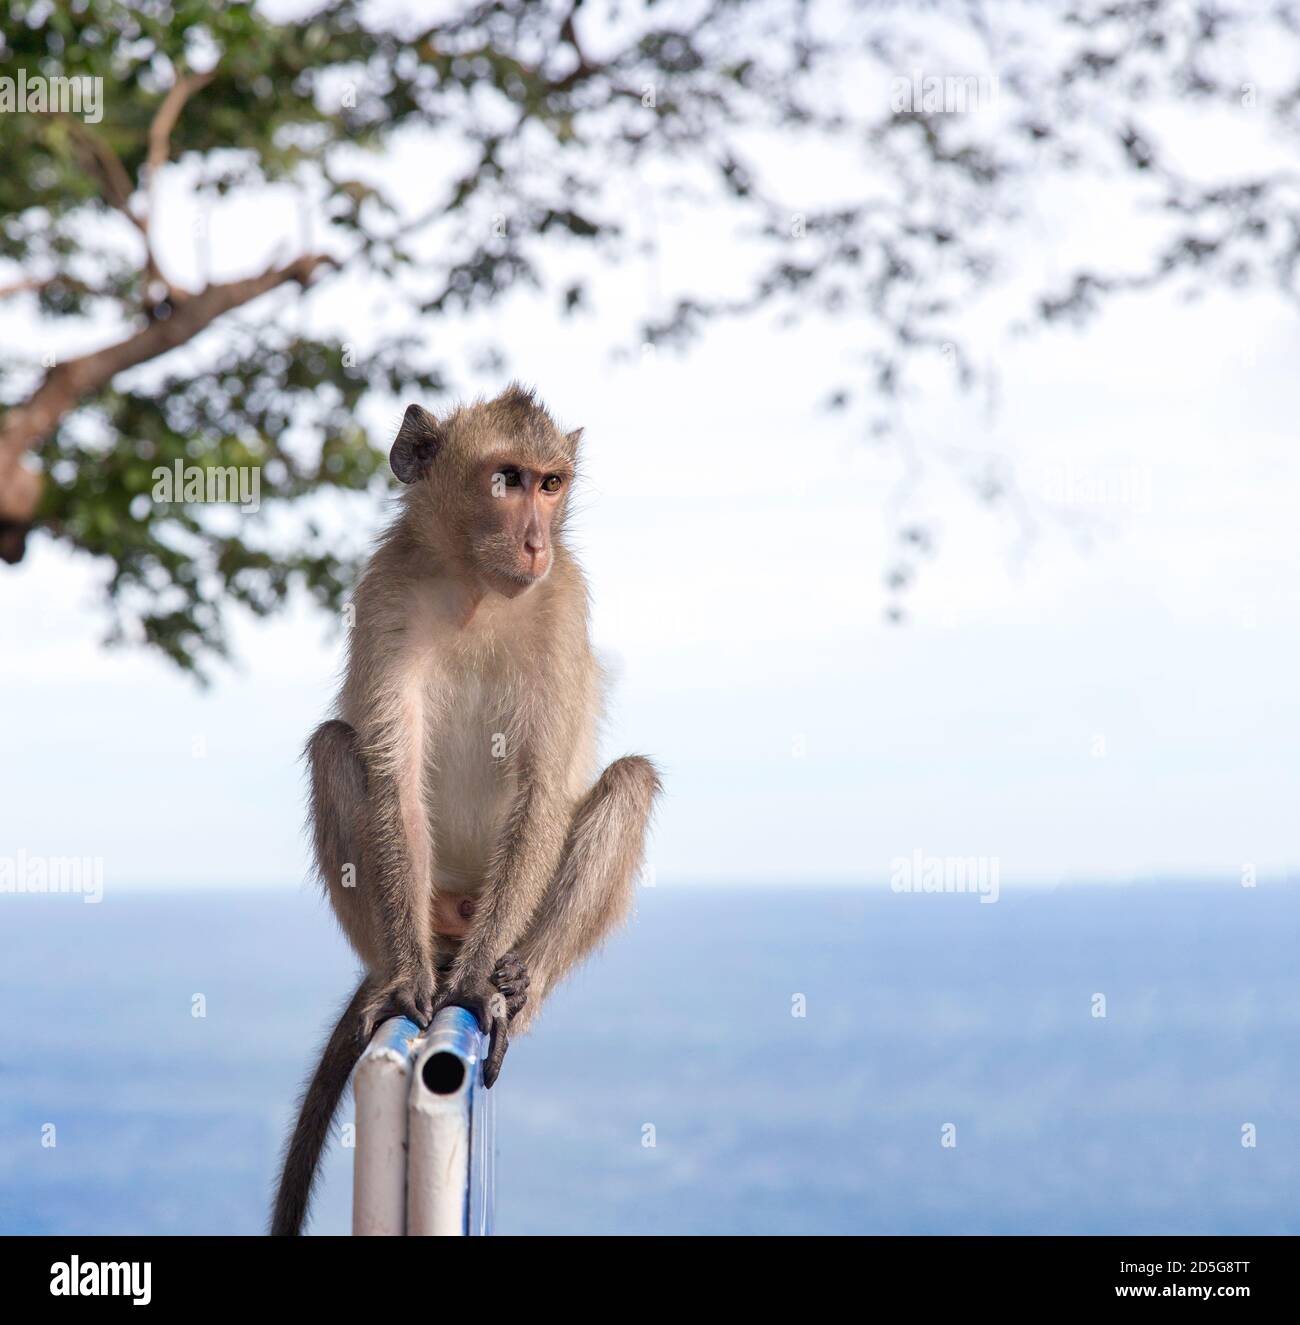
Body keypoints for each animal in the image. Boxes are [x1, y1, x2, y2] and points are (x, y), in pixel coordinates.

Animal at [269, 384, 661, 1236]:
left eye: (552, 483)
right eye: (505, 479)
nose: (536, 542)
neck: (476, 586)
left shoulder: (563, 601)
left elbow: (542, 786)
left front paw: (481, 985)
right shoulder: (384, 589)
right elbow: (392, 771)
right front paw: (409, 986)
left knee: (630, 780)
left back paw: (512, 979)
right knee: (335, 749)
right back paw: (399, 973)